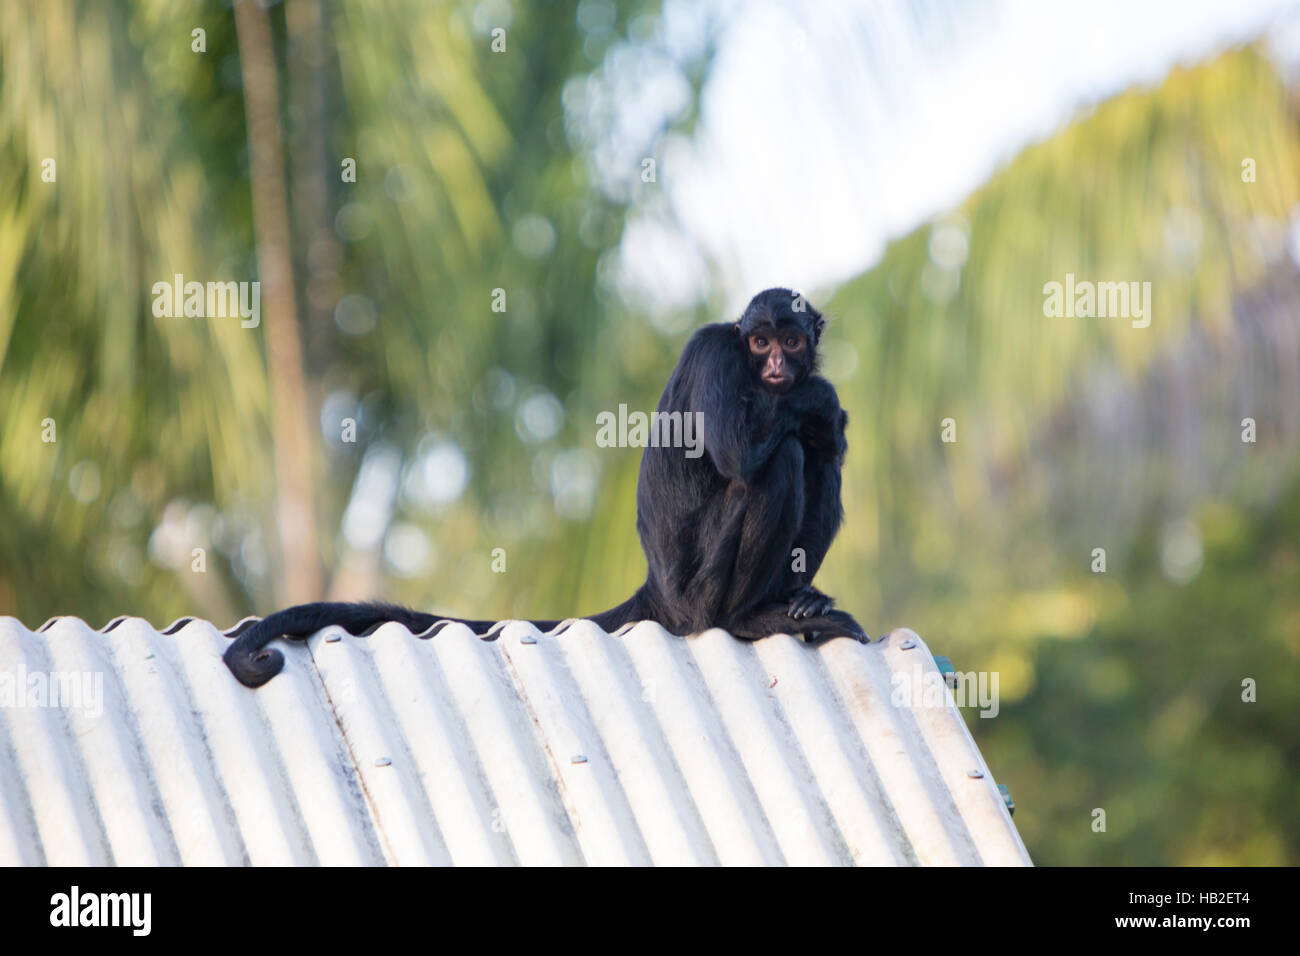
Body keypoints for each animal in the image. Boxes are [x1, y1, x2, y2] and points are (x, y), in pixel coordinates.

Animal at [224, 288, 869, 687]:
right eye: (760, 343)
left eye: (791, 342)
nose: (779, 368)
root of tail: (660, 590)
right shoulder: (716, 350)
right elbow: (745, 447)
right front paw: (818, 397)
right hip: (702, 587)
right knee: (787, 454)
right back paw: (749, 617)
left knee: (820, 455)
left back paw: (798, 599)